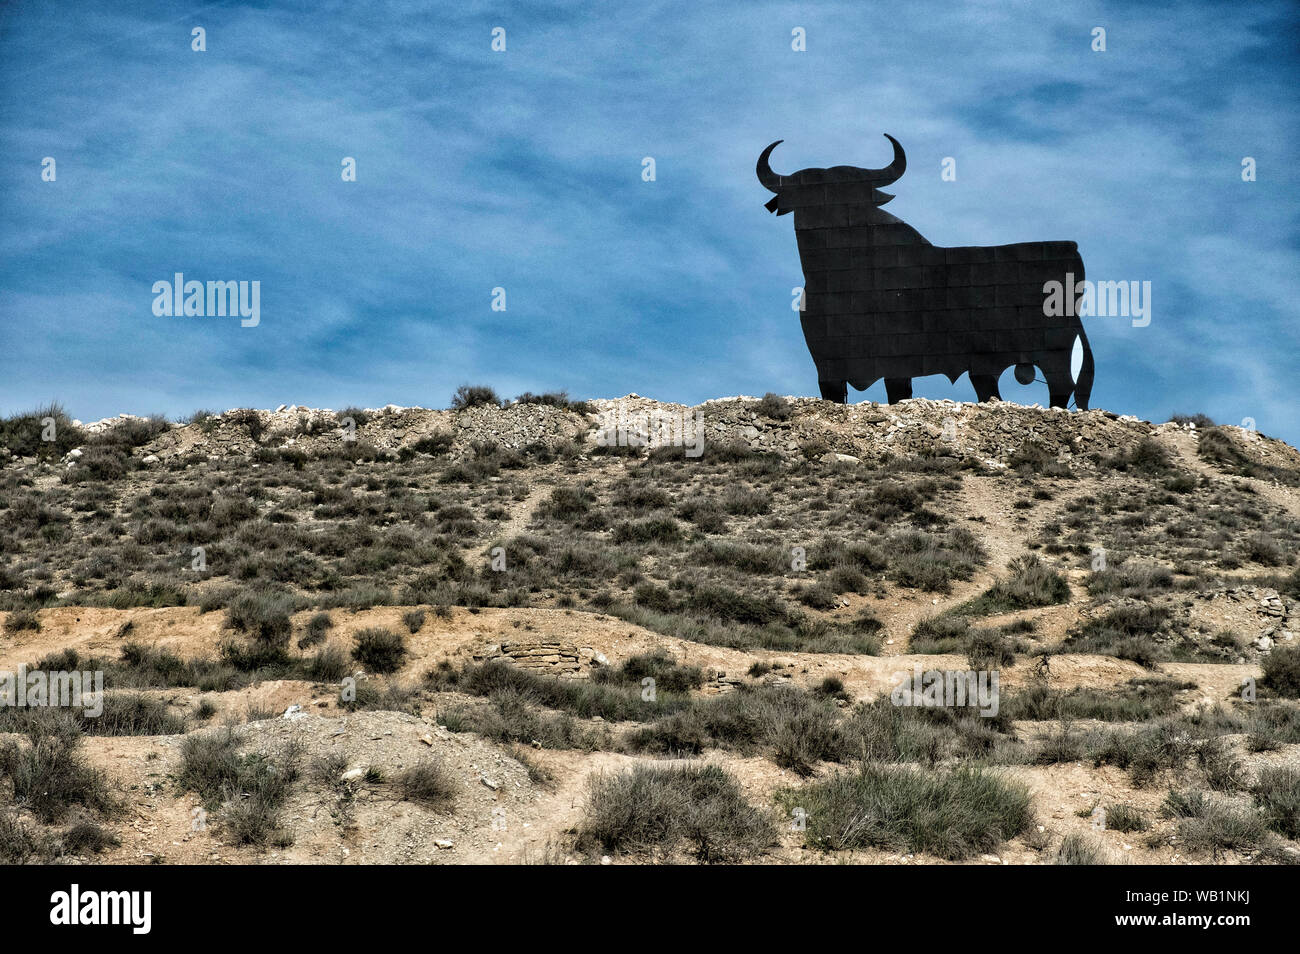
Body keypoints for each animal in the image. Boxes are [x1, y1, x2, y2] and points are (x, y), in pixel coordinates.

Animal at [757, 134, 1094, 409]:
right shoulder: (827, 366)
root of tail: (1071, 250)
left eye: (853, 196)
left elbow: (897, 394)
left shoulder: (896, 362)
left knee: (1062, 384)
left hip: (1054, 349)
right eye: (807, 198)